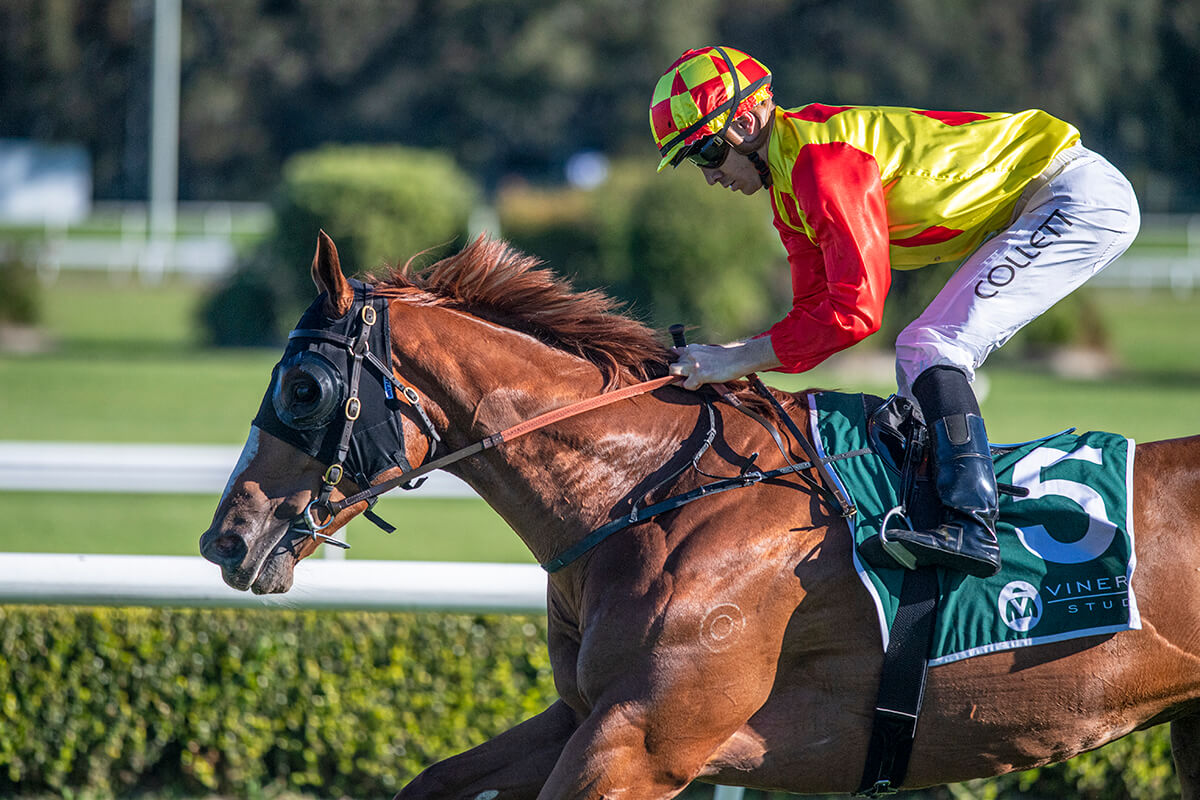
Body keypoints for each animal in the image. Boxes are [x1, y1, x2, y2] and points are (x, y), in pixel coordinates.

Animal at [201, 231, 1200, 798]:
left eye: (301, 387)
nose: (226, 539)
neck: (650, 496)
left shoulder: (644, 741)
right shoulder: (586, 714)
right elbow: (434, 780)